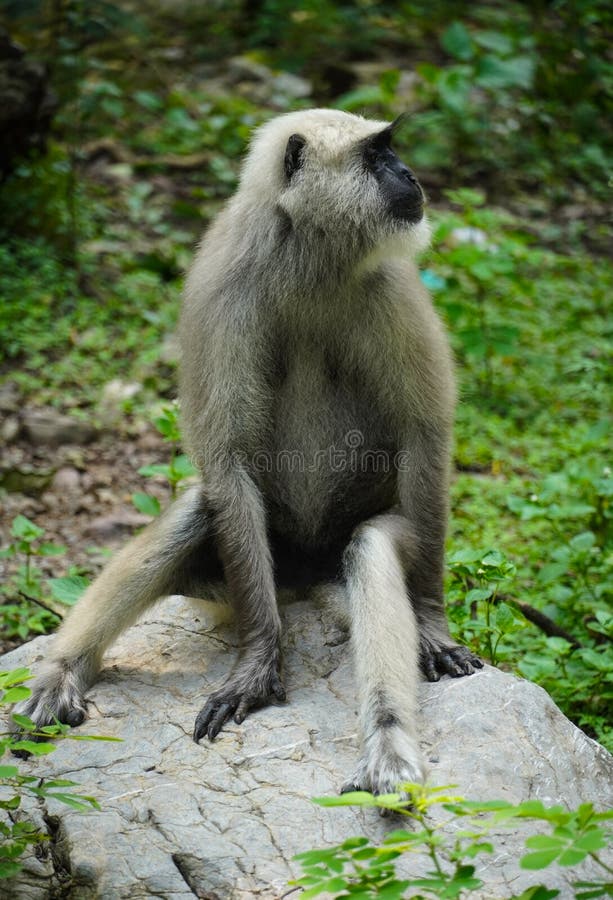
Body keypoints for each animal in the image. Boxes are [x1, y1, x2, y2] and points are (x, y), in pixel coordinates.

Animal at [15, 109, 482, 795]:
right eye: (378, 156)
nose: (410, 175)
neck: (311, 257)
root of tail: (304, 573)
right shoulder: (223, 285)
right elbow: (227, 460)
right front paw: (259, 664)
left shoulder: (391, 283)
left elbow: (424, 435)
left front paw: (428, 621)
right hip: (241, 575)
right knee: (202, 509)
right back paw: (59, 675)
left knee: (368, 545)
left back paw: (388, 746)